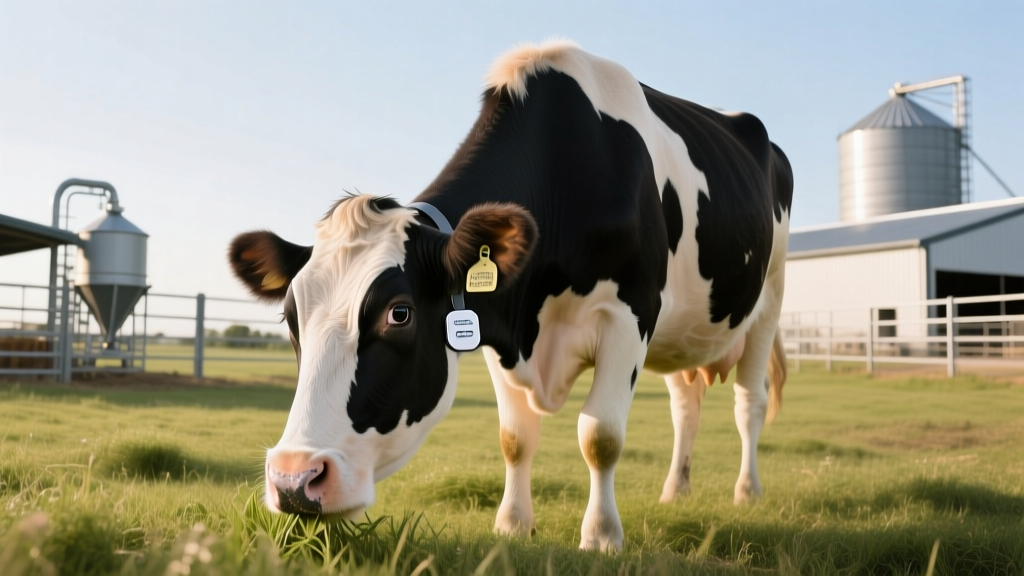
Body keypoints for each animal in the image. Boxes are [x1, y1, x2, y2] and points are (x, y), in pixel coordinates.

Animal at [228, 40, 792, 552]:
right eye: (290, 318)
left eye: (399, 313)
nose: (293, 480)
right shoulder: (494, 325)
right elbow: (515, 438)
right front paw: (513, 524)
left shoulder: (629, 314)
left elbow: (601, 435)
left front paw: (601, 536)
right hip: (683, 331)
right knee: (685, 406)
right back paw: (676, 491)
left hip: (770, 297)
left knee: (750, 403)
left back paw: (747, 492)